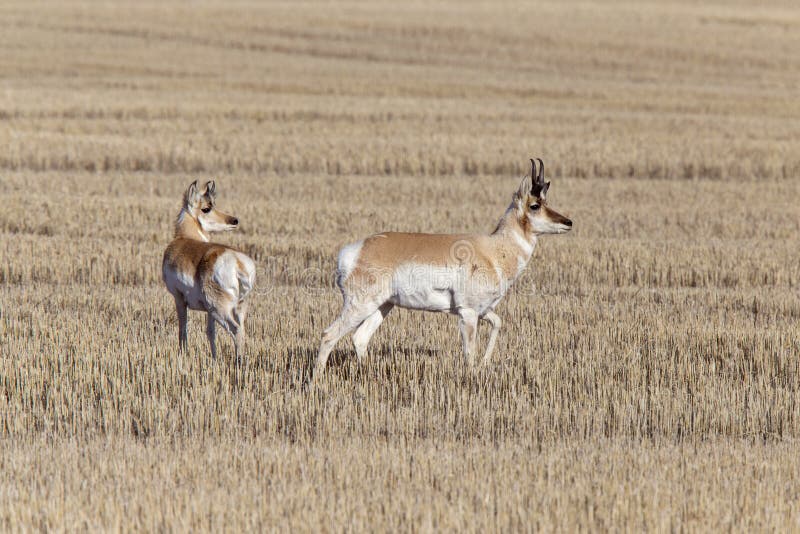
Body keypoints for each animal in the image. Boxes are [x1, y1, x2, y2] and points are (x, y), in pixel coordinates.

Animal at [162, 180, 255, 362]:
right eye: (207, 208)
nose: (234, 220)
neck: (185, 238)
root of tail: (238, 261)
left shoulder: (178, 298)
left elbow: (183, 329)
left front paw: (183, 355)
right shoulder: (208, 311)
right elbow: (210, 333)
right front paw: (214, 359)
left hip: (220, 308)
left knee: (236, 330)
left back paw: (239, 363)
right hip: (236, 307)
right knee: (242, 329)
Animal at [313, 158, 572, 378]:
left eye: (546, 202)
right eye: (535, 205)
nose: (568, 222)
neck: (493, 250)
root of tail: (355, 250)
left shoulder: (483, 310)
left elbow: (498, 323)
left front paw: (485, 363)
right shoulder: (468, 313)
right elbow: (469, 352)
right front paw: (472, 377)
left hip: (382, 306)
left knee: (360, 338)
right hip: (360, 305)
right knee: (329, 335)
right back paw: (316, 383)